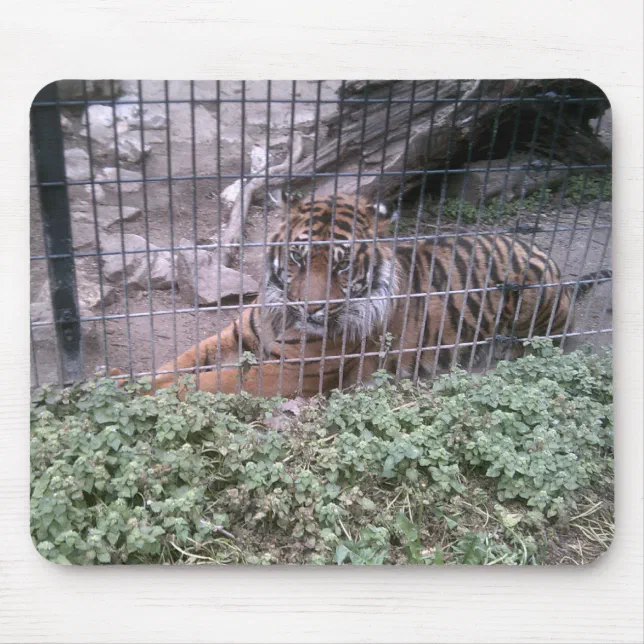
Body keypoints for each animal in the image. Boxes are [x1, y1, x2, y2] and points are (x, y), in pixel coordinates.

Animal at [109, 193, 611, 399]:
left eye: (342, 266)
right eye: (297, 257)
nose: (310, 308)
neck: (280, 315)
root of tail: (549, 258)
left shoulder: (292, 371)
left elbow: (211, 381)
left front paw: (138, 399)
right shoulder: (237, 334)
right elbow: (182, 361)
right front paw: (116, 381)